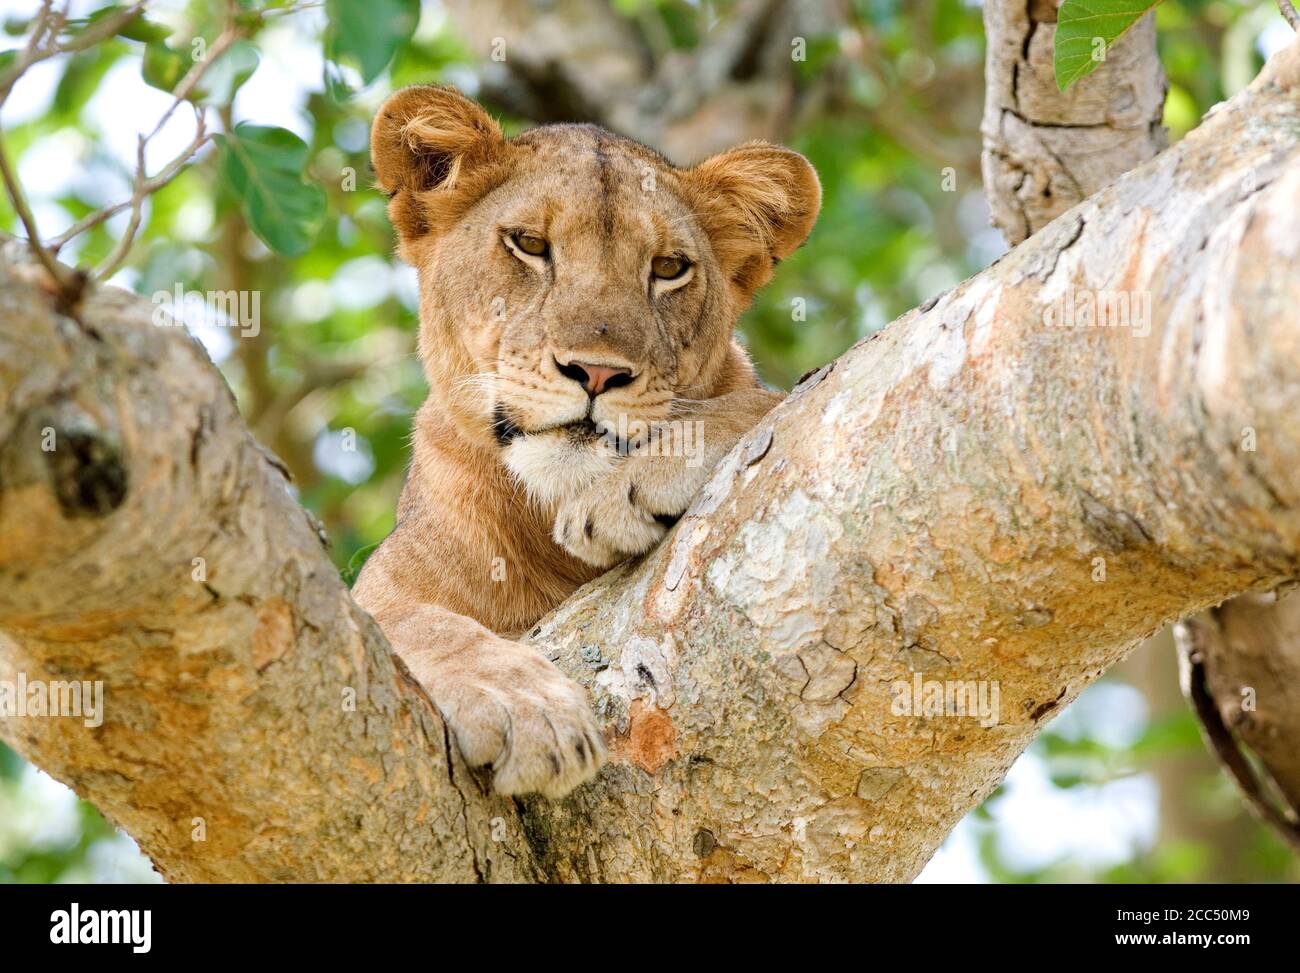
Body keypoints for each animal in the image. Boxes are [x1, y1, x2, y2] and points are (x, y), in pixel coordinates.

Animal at [352, 85, 820, 799]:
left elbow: (768, 397)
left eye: (669, 268)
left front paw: (624, 489)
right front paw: (523, 707)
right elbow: (415, 622)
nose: (597, 372)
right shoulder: (376, 588)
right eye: (529, 244)